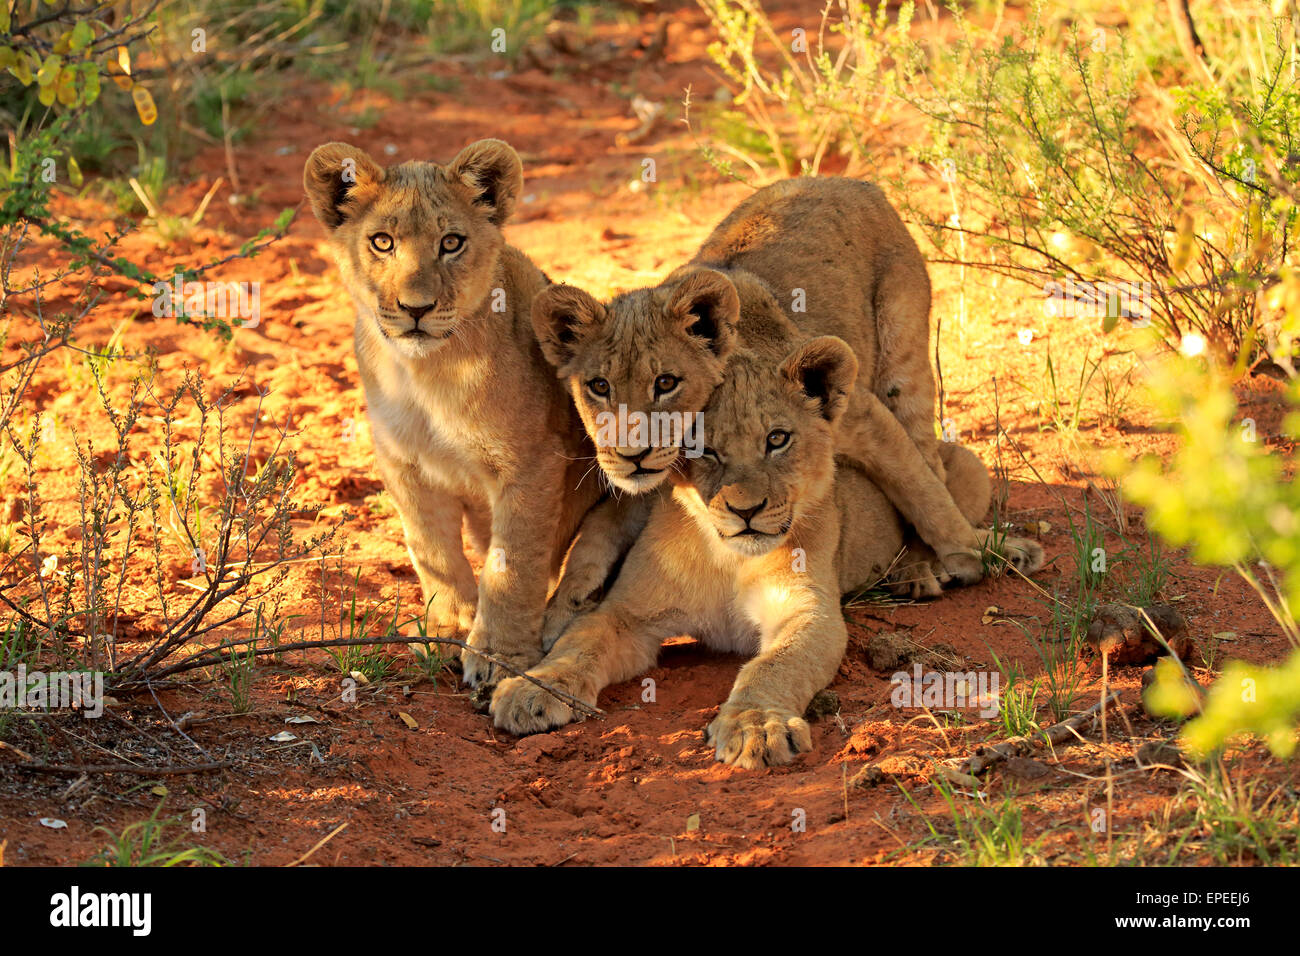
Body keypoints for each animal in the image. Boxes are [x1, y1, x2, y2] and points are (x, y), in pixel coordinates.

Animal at [304, 139, 617, 686]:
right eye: (382, 242)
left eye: (451, 243)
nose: (416, 308)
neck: (427, 373)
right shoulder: (404, 465)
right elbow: (434, 552)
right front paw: (449, 630)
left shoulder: (531, 464)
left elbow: (513, 567)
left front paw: (499, 655)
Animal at [490, 318, 1044, 768]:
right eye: (703, 449)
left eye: (777, 440)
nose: (746, 510)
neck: (729, 557)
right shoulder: (629, 614)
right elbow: (581, 642)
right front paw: (531, 690)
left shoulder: (809, 611)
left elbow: (773, 665)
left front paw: (755, 727)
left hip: (967, 468)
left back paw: (930, 572)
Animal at [531, 177, 989, 588]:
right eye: (599, 387)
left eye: (665, 383)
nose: (632, 456)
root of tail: (851, 181)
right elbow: (601, 530)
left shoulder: (862, 416)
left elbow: (921, 489)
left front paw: (969, 556)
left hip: (903, 354)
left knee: (930, 460)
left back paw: (923, 568)